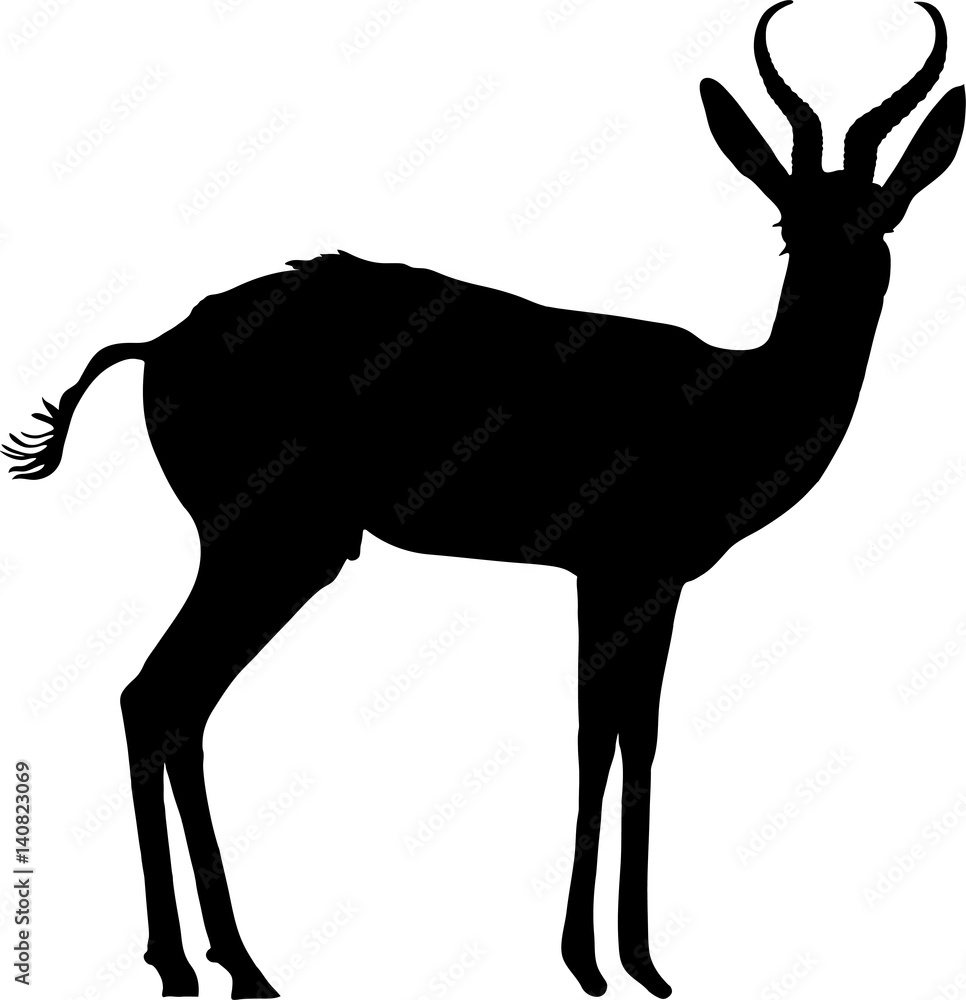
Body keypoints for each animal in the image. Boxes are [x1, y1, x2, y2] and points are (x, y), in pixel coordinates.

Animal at [5, 2, 963, 997]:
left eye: (885, 217)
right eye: (786, 225)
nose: (835, 283)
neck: (730, 398)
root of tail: (163, 340)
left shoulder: (634, 583)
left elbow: (626, 734)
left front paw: (622, 960)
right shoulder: (624, 576)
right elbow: (606, 736)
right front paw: (606, 963)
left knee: (168, 704)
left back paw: (215, 963)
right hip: (275, 548)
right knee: (159, 696)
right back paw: (211, 963)